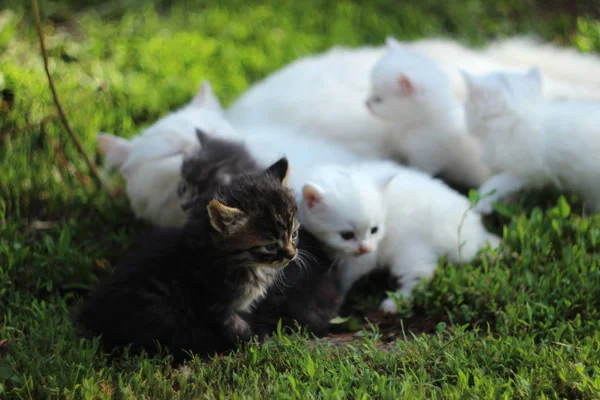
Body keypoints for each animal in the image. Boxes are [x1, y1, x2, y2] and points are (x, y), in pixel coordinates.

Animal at [75, 158, 300, 364]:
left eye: (294, 234)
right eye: (270, 246)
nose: (291, 255)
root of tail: (88, 314)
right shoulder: (214, 305)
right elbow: (237, 328)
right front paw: (257, 341)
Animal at [298, 159, 500, 312]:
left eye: (374, 230)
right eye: (346, 235)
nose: (366, 248)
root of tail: (473, 229)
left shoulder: (363, 260)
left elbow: (346, 277)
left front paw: (338, 296)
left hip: (410, 247)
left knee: (420, 273)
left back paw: (395, 303)